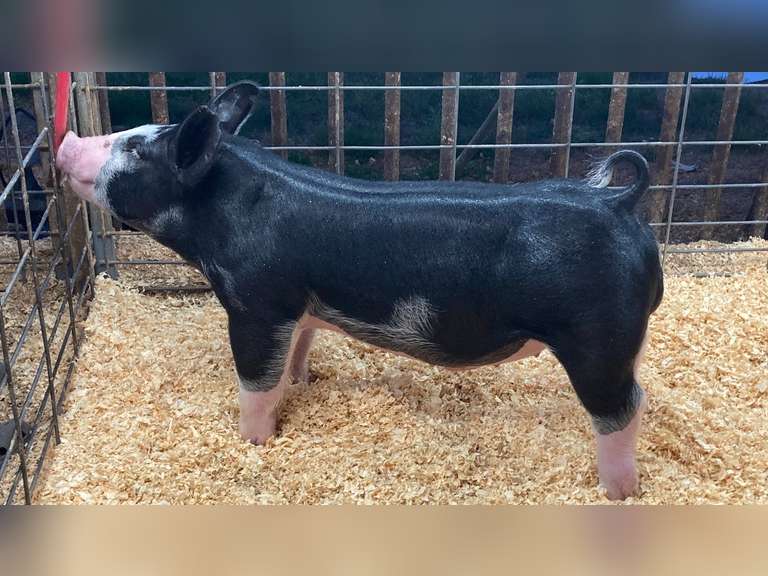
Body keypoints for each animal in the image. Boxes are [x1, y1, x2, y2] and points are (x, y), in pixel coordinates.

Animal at [56, 81, 663, 500]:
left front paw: (251, 442)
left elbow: (256, 381)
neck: (224, 210)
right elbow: (296, 353)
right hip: (625, 336)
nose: (66, 139)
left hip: (595, 338)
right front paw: (302, 383)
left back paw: (618, 492)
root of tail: (617, 203)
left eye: (136, 151)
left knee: (623, 408)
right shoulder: (299, 309)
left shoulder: (257, 302)